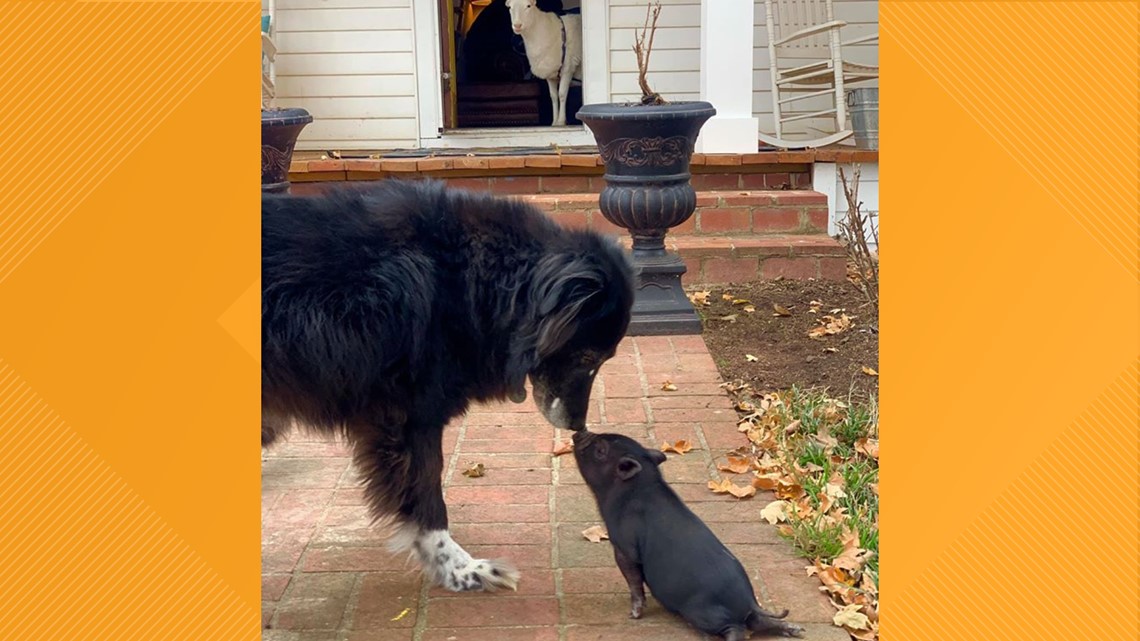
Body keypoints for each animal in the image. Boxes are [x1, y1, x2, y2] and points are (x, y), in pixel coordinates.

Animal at [572, 430, 804, 640]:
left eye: (601, 451)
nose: (578, 434)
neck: (632, 491)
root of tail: (749, 601)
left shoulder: (625, 546)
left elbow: (634, 580)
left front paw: (633, 616)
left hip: (703, 613)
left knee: (736, 629)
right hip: (742, 614)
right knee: (759, 623)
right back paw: (797, 630)